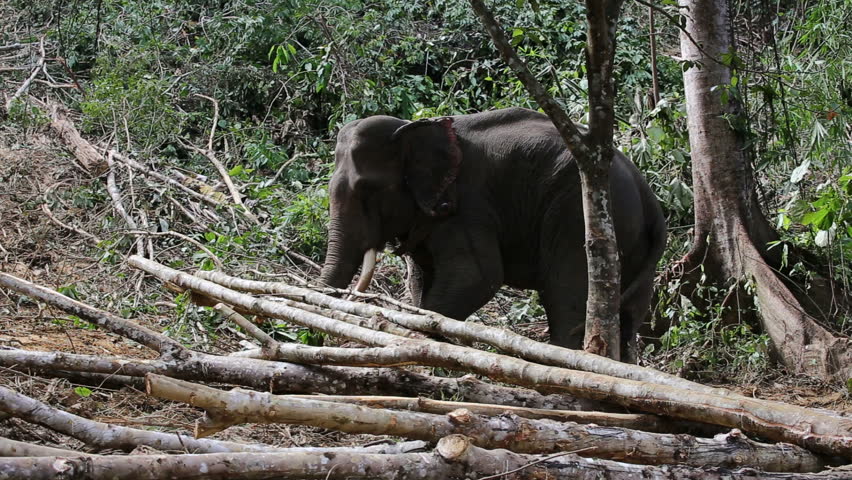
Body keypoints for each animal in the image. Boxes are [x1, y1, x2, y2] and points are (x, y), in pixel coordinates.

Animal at [319, 107, 667, 356]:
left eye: (367, 191)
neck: (414, 126)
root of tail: (648, 194)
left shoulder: (468, 207)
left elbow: (476, 277)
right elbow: (419, 280)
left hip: (578, 216)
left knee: (567, 303)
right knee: (626, 319)